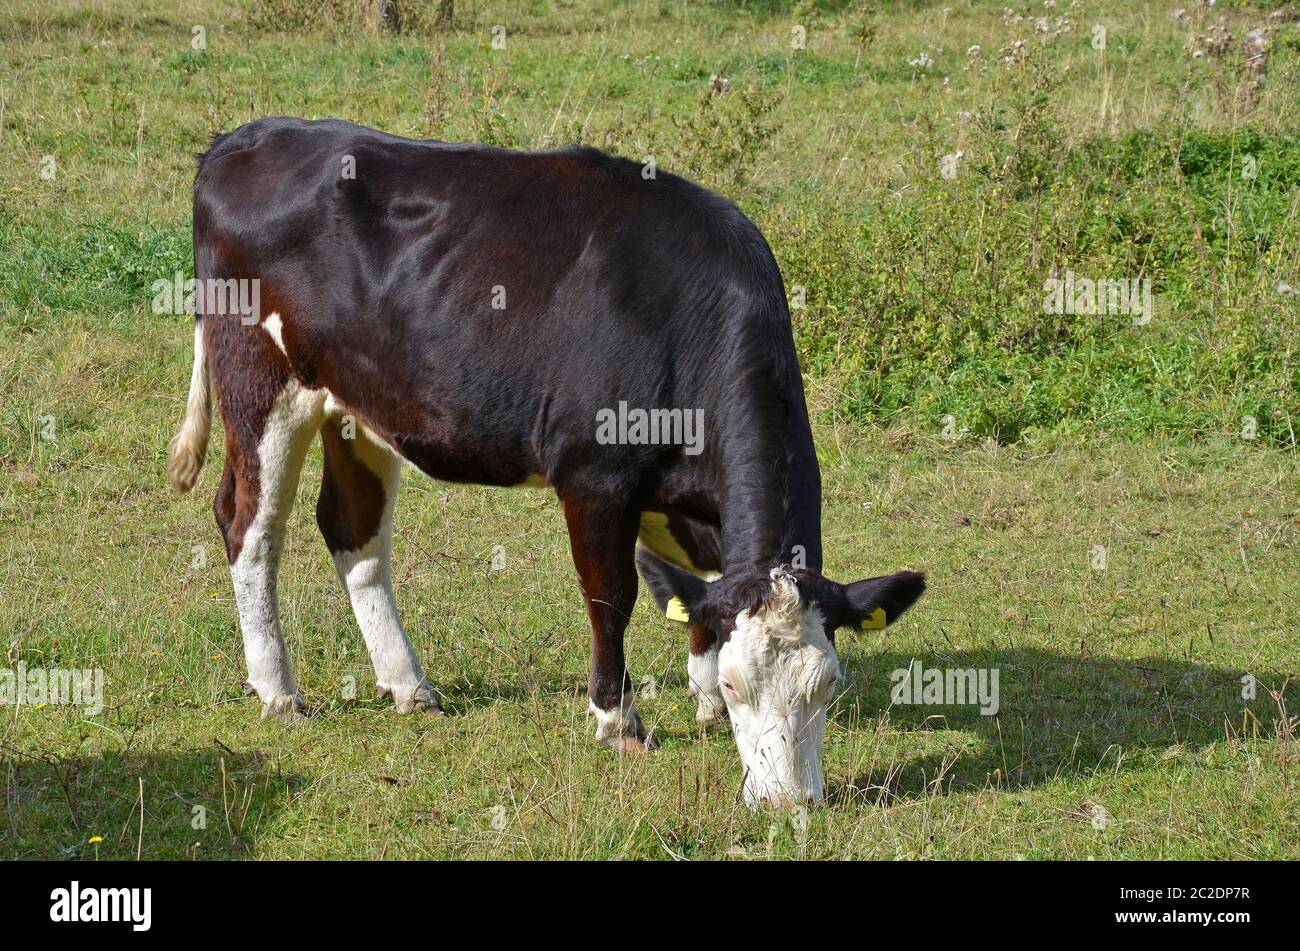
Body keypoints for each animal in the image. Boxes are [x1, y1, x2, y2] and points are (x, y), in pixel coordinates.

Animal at [168, 117, 924, 807]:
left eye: (828, 685)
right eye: (744, 685)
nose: (788, 801)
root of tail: (253, 134)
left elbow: (697, 589)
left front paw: (702, 698)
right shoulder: (596, 475)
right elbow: (612, 596)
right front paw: (621, 719)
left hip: (360, 404)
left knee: (353, 531)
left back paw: (409, 684)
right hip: (259, 379)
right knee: (249, 527)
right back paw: (279, 690)